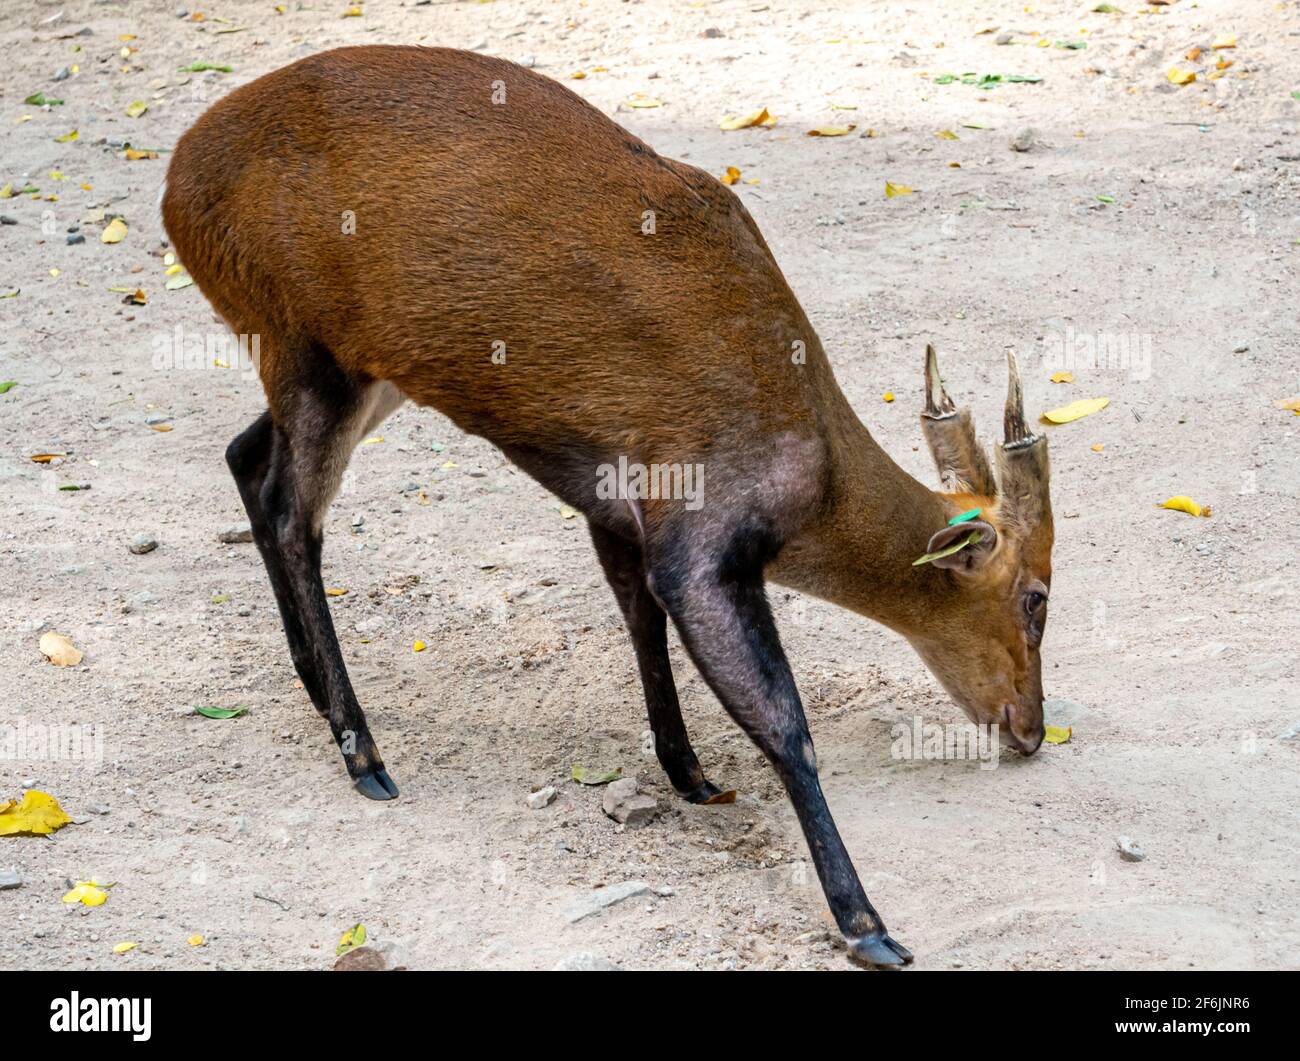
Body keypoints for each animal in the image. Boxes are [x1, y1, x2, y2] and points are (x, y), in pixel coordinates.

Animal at [162, 45, 1055, 969]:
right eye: (1037, 597)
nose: (1030, 729)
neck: (813, 475)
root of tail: (175, 185)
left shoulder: (617, 508)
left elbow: (639, 622)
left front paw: (690, 773)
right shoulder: (702, 537)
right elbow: (783, 721)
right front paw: (867, 922)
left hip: (360, 368)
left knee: (246, 457)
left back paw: (313, 685)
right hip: (307, 346)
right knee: (291, 511)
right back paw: (364, 751)